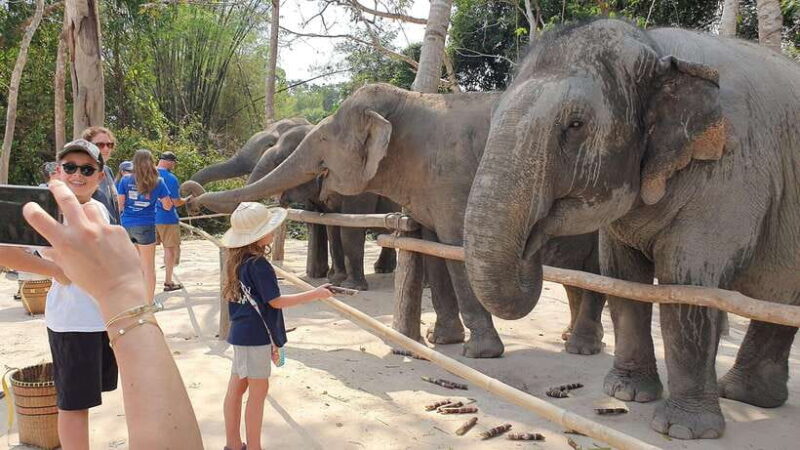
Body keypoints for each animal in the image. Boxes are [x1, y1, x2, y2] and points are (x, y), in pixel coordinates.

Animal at [183, 123, 397, 289]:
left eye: (279, 161)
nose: (191, 202)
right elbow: (328, 224)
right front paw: (329, 278)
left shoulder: (361, 187)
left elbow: (350, 225)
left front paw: (350, 286)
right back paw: (382, 269)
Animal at [463, 19, 800, 439]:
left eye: (575, 125)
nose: (532, 244)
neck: (657, 49)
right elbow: (621, 277)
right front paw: (626, 394)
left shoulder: (731, 174)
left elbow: (687, 280)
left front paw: (681, 430)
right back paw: (746, 396)